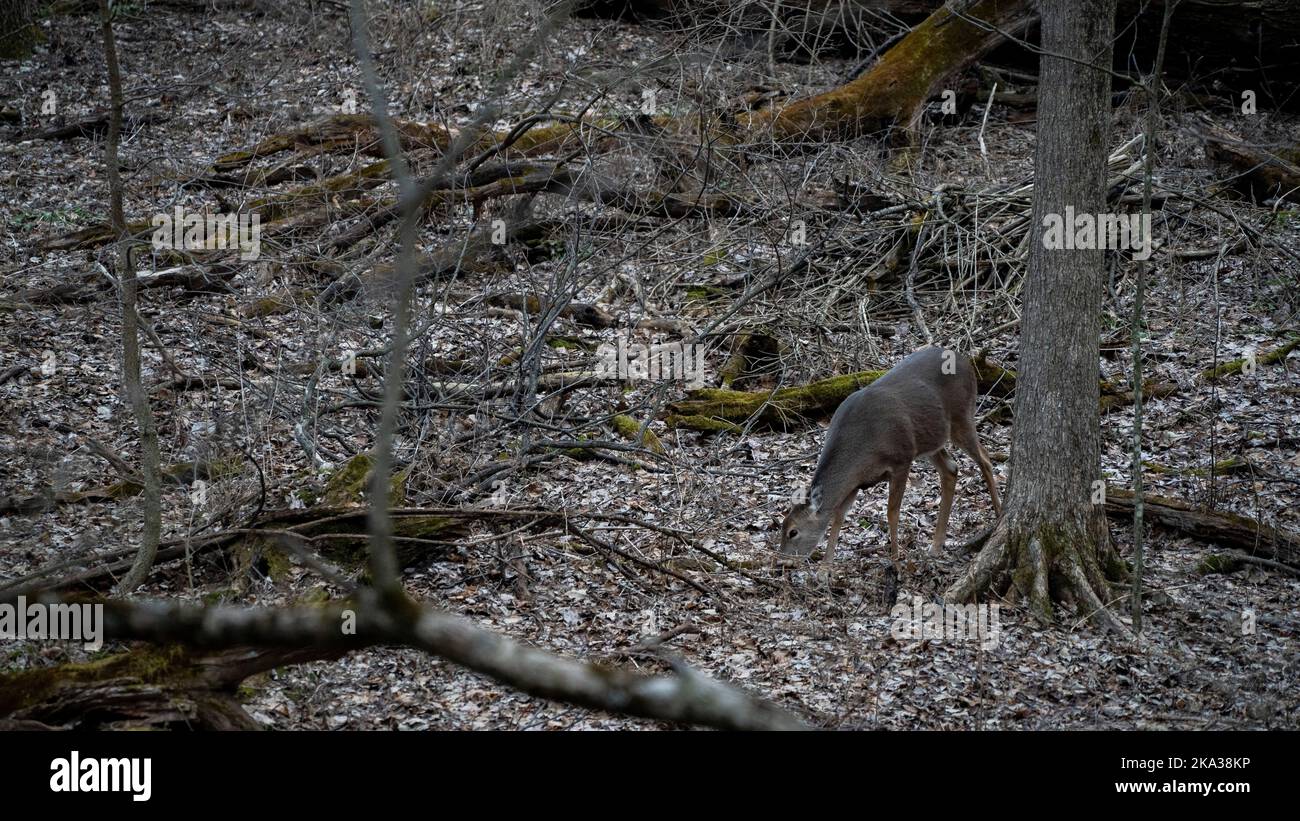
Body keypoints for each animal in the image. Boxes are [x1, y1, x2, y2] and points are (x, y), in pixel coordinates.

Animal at [776, 346, 1001, 569]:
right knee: (951, 468)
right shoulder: (856, 481)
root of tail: (965, 360)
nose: (782, 561)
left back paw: (998, 515)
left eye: (793, 532)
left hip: (961, 416)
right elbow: (839, 516)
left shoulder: (901, 459)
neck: (862, 448)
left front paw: (895, 561)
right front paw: (825, 569)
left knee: (985, 458)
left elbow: (892, 512)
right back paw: (936, 546)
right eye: (782, 527)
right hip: (929, 439)